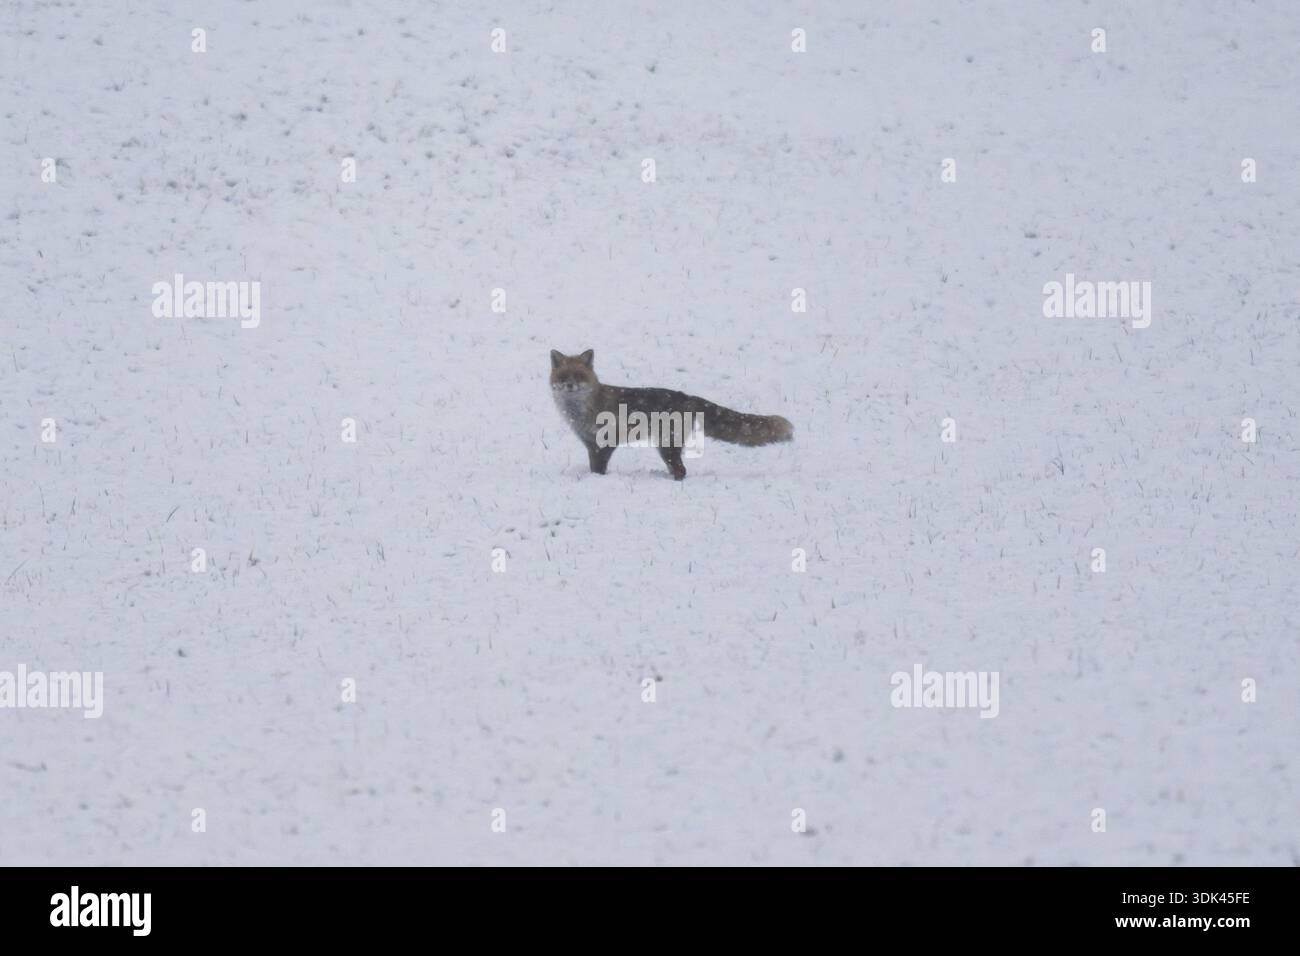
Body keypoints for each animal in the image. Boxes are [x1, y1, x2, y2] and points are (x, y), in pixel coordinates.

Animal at [549, 349, 793, 480]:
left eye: (579, 376)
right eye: (563, 377)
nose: (570, 386)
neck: (582, 411)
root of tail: (688, 396)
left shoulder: (606, 442)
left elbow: (599, 469)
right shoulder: (591, 444)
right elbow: (594, 468)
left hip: (667, 446)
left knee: (682, 470)